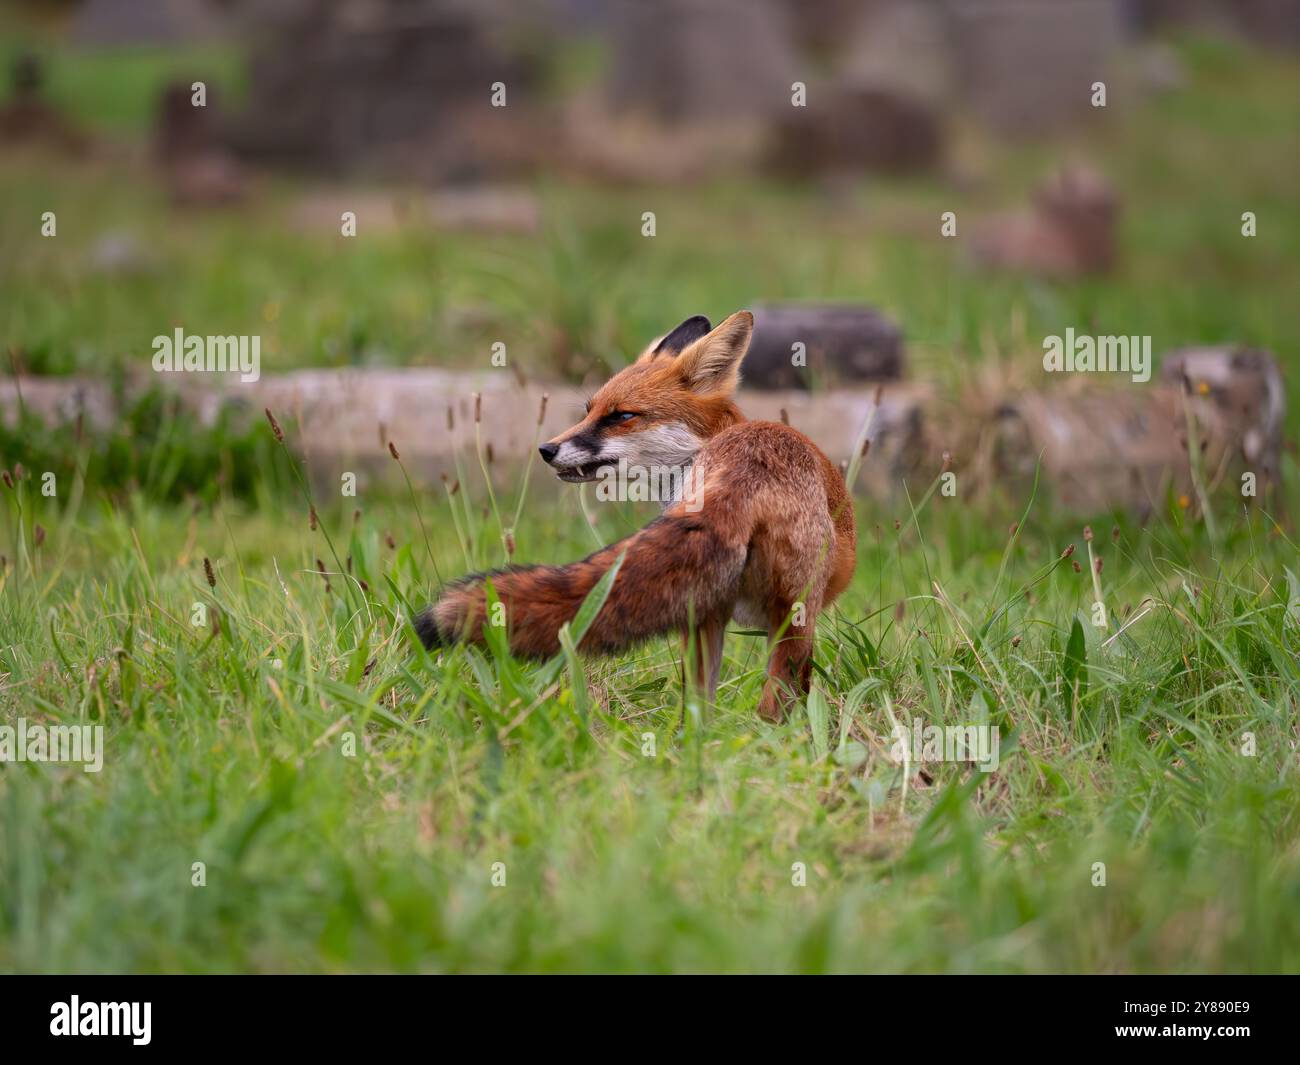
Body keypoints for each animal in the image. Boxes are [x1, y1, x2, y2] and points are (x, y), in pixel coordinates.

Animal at [414, 310, 857, 722]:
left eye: (621, 416)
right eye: (590, 411)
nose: (546, 449)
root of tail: (748, 467)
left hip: (717, 614)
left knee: (699, 712)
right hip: (790, 620)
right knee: (772, 709)